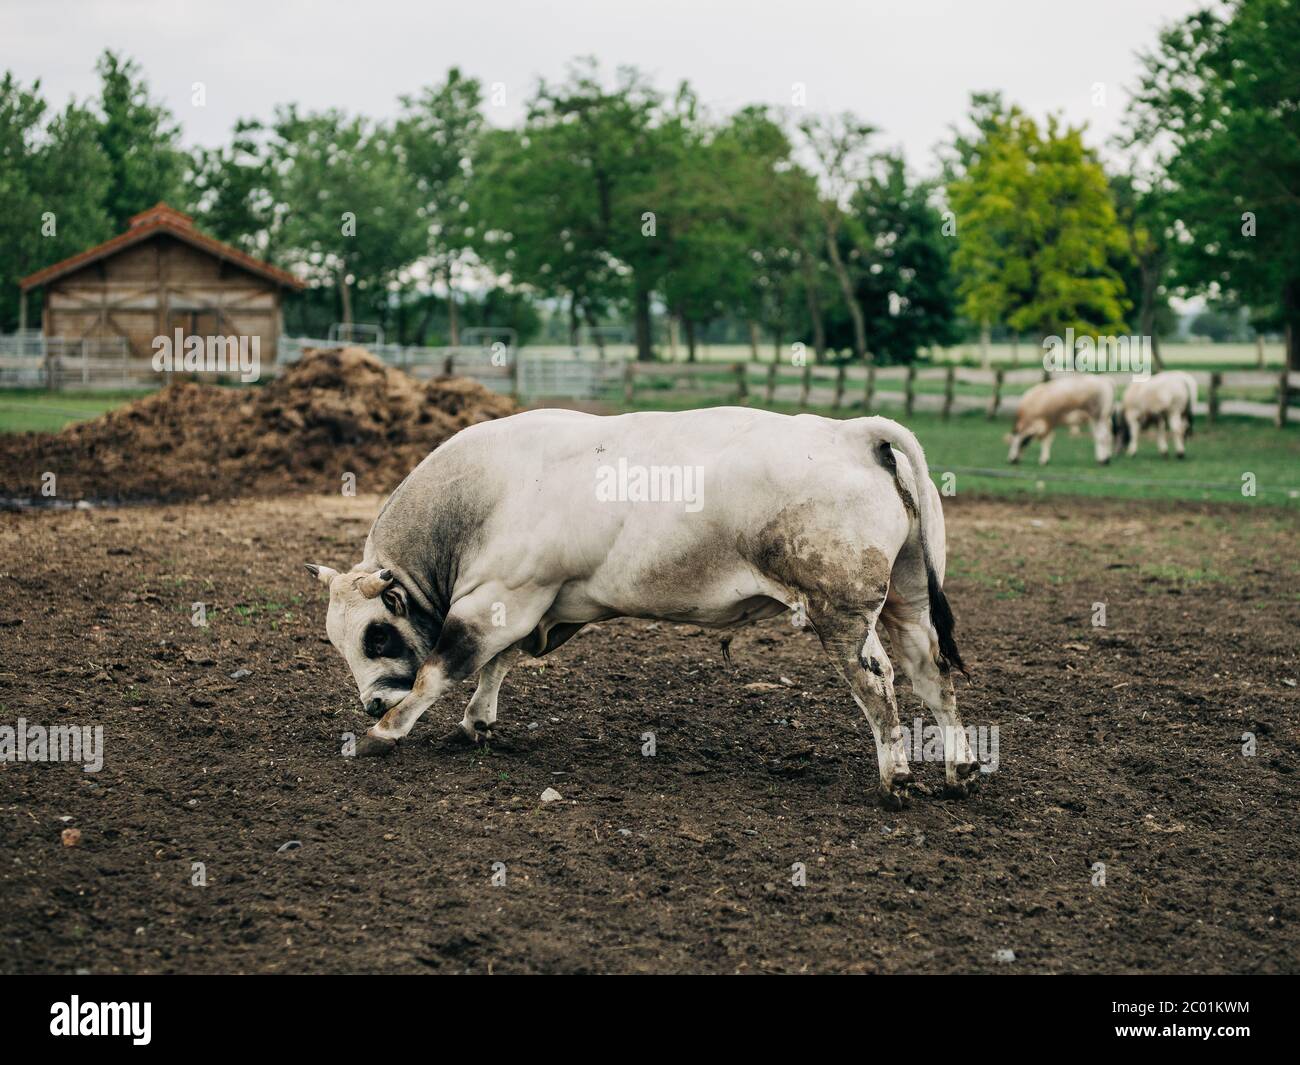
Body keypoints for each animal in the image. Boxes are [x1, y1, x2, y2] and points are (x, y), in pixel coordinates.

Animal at [305, 407, 978, 809]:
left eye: (376, 635)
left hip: (840, 611)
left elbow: (441, 668)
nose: (372, 701)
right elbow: (499, 662)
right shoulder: (536, 605)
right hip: (908, 603)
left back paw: (895, 779)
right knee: (933, 674)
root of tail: (851, 432)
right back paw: (959, 768)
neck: (483, 494)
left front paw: (383, 733)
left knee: (878, 682)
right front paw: (478, 722)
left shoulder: (504, 595)